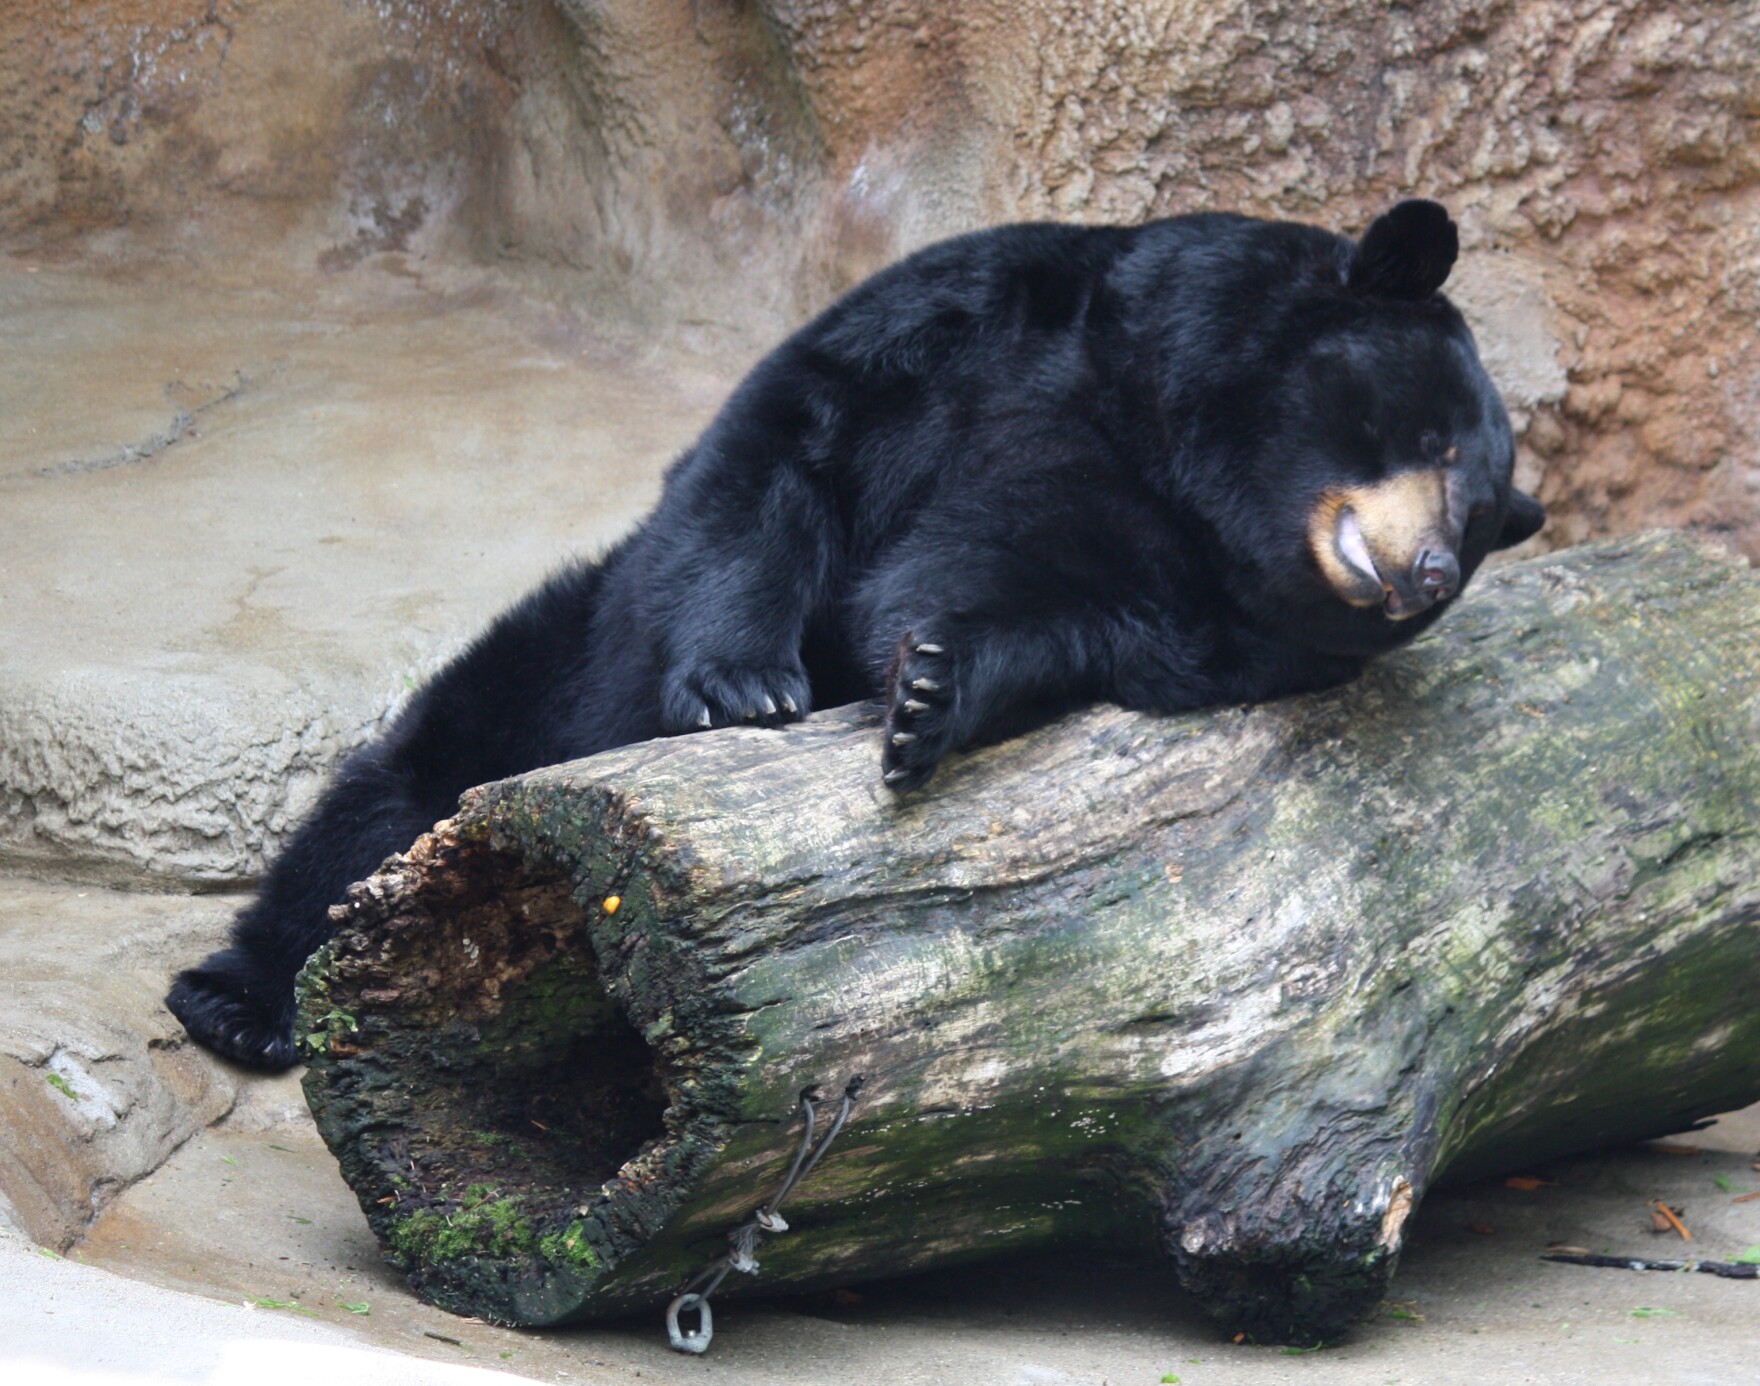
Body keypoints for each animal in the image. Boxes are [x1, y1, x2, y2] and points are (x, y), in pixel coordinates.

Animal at [167, 198, 1544, 1071]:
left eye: (1480, 519)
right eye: (1427, 438)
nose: (1423, 571)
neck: (1187, 458)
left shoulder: (1181, 591)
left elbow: (1044, 611)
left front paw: (925, 692)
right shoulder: (1005, 322)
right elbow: (792, 442)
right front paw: (745, 686)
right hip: (546, 676)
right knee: (390, 801)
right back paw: (242, 1001)